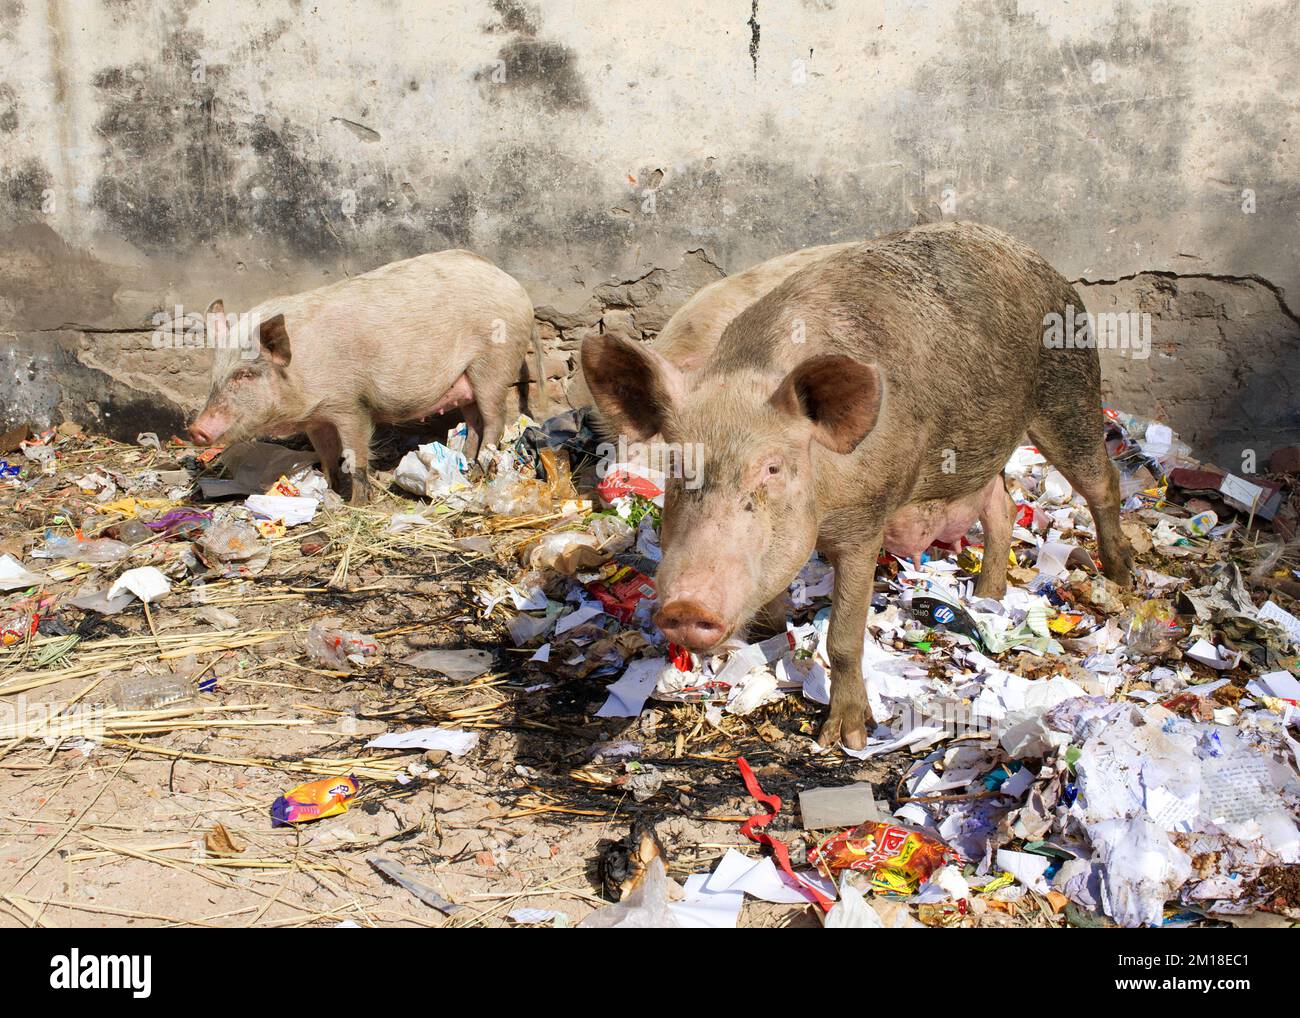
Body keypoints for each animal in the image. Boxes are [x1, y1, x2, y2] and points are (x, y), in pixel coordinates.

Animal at [187, 250, 542, 503]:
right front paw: (330, 492)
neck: (301, 369)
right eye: (215, 375)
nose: (195, 430)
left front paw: (356, 505)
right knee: (474, 421)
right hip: (465, 377)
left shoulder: (350, 404)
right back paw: (464, 463)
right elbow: (326, 455)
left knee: (495, 419)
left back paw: (482, 469)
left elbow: (355, 455)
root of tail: (516, 286)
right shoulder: (315, 417)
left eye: (246, 374)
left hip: (494, 364)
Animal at [582, 222, 1133, 750]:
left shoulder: (865, 521)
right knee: (1002, 505)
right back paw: (987, 595)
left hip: (1068, 388)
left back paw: (1121, 578)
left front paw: (846, 736)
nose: (684, 607)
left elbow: (844, 638)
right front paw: (766, 636)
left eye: (773, 469)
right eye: (678, 465)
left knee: (1102, 484)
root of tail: (1030, 254)